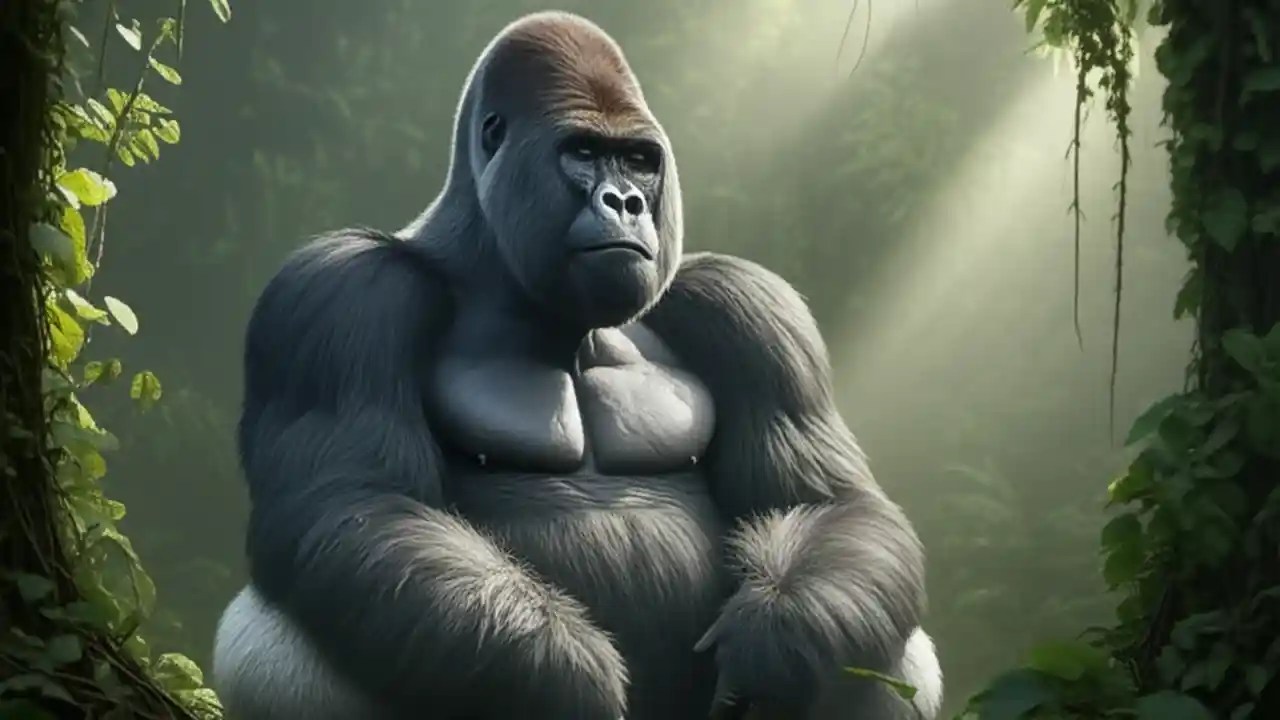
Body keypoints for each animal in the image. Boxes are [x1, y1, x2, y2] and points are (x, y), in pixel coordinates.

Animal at [211, 11, 942, 720]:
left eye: (640, 160)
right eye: (584, 153)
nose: (627, 203)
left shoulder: (746, 304)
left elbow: (820, 501)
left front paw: (775, 643)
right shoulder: (338, 292)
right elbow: (357, 499)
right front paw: (565, 676)